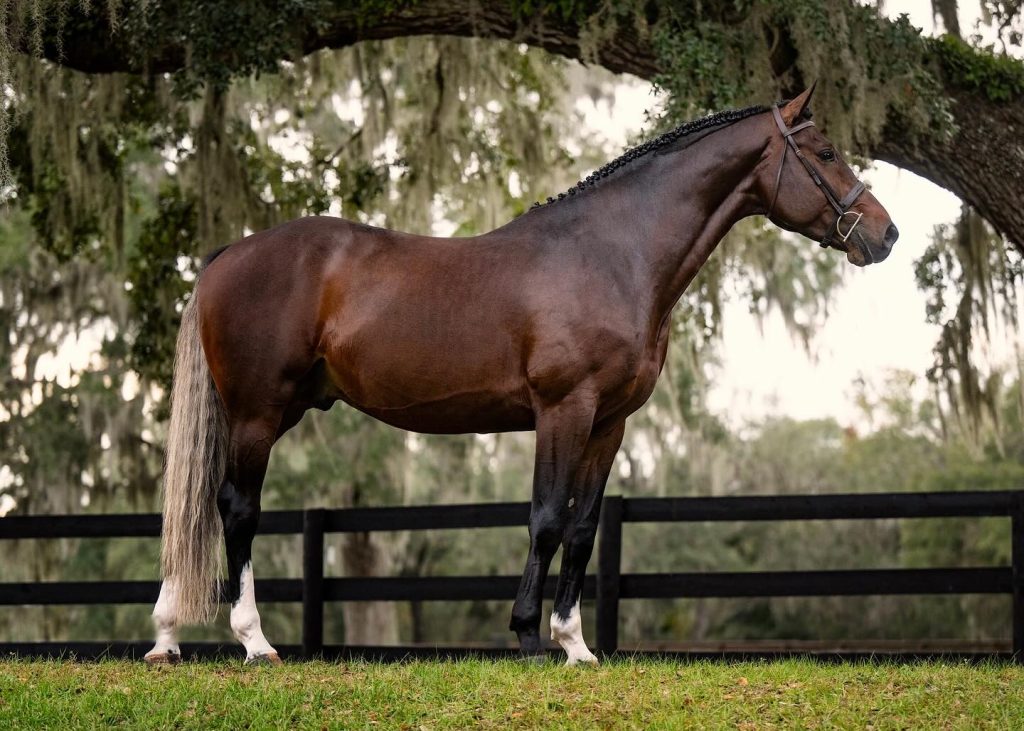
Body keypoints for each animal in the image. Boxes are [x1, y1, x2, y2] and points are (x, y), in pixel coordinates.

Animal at [143, 85, 898, 666]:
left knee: (203, 506)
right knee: (236, 508)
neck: (611, 254)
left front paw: (577, 645)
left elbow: (583, 526)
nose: (885, 234)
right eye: (825, 153)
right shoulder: (564, 408)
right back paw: (253, 641)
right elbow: (545, 516)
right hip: (258, 410)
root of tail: (226, 255)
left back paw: (168, 639)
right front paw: (531, 636)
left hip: (267, 410)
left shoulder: (610, 421)